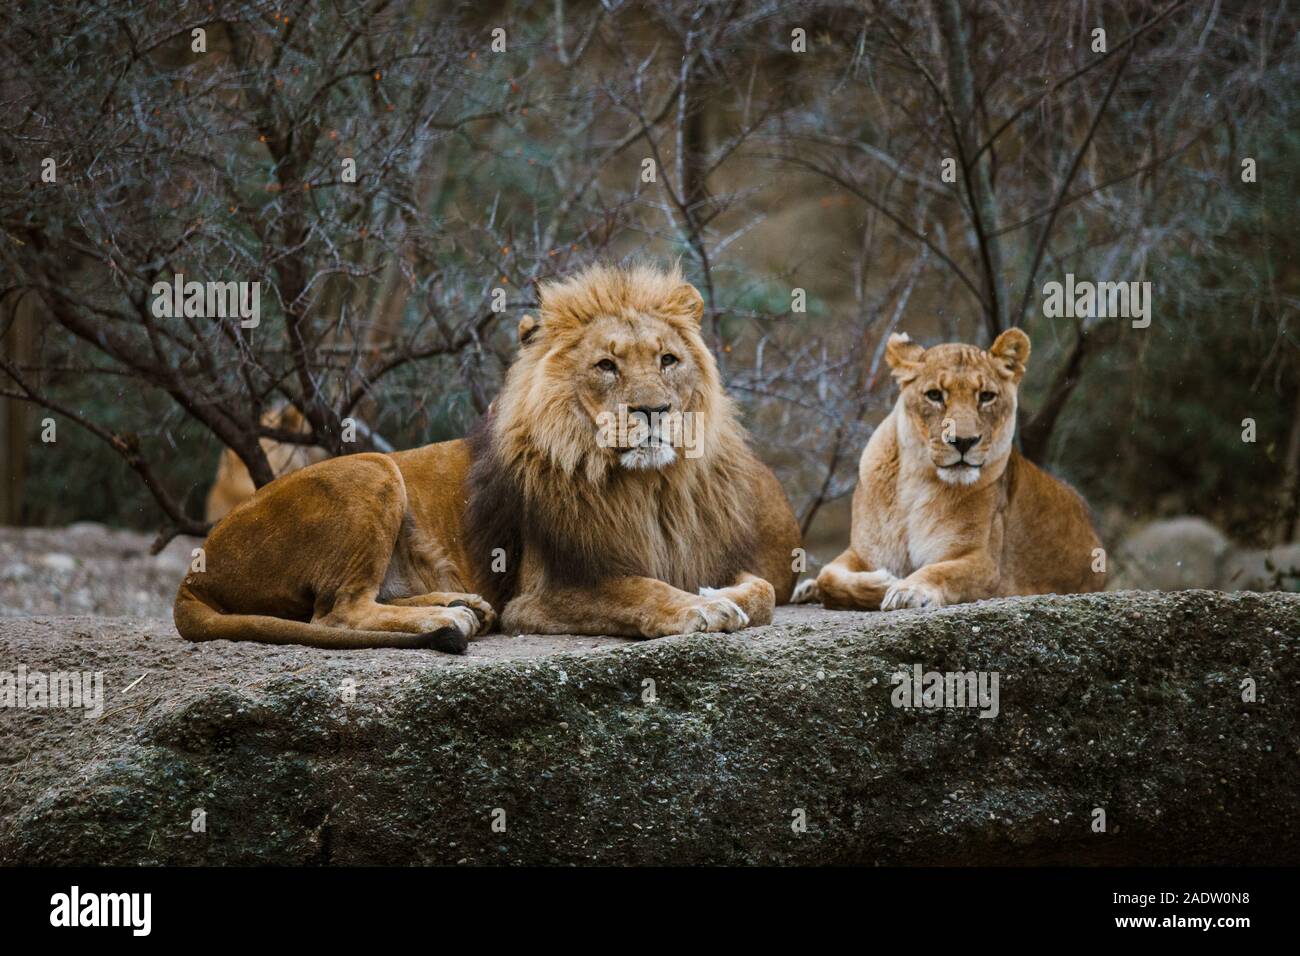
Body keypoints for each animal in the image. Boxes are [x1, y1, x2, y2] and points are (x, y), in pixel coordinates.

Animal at [174, 262, 802, 652]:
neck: (650, 486)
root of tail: (194, 570)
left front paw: (719, 595)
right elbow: (633, 589)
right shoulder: (538, 597)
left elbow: (767, 592)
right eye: (607, 366)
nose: (653, 410)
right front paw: (699, 609)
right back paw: (446, 617)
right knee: (336, 612)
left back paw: (460, 603)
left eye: (668, 359)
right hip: (370, 469)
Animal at [793, 327, 1104, 611]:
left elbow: (942, 570)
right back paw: (806, 589)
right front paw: (883, 581)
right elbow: (829, 576)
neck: (917, 481)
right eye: (934, 395)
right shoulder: (862, 553)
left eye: (986, 396)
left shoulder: (984, 563)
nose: (963, 441)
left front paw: (905, 589)